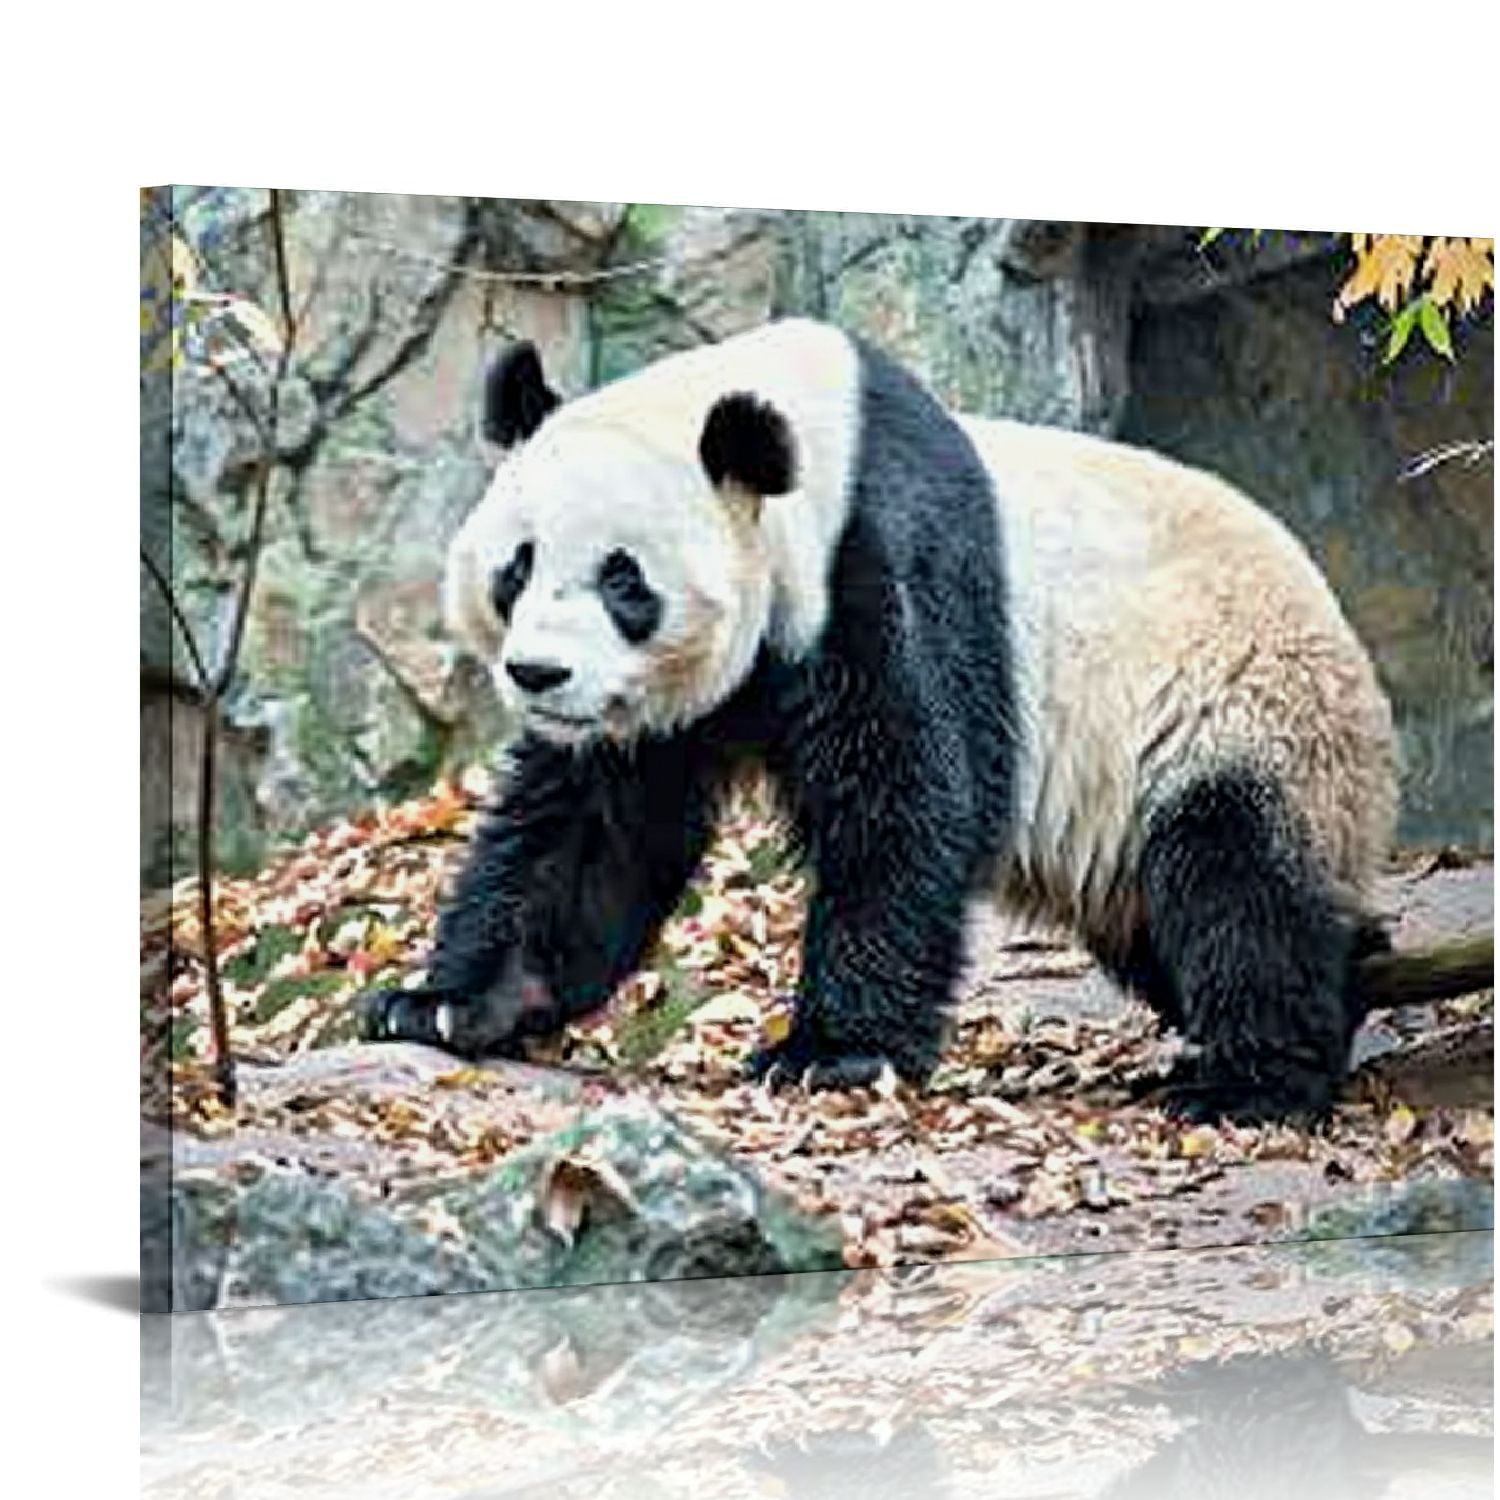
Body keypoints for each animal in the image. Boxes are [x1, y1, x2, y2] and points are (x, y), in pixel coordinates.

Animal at [361, 318, 1399, 1124]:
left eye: (626, 581)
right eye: (518, 566)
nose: (540, 673)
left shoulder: (884, 566)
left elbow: (908, 796)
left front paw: (828, 1052)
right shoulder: (647, 717)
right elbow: (587, 837)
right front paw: (447, 1005)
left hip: (1233, 709)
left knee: (1238, 886)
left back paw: (1251, 1080)